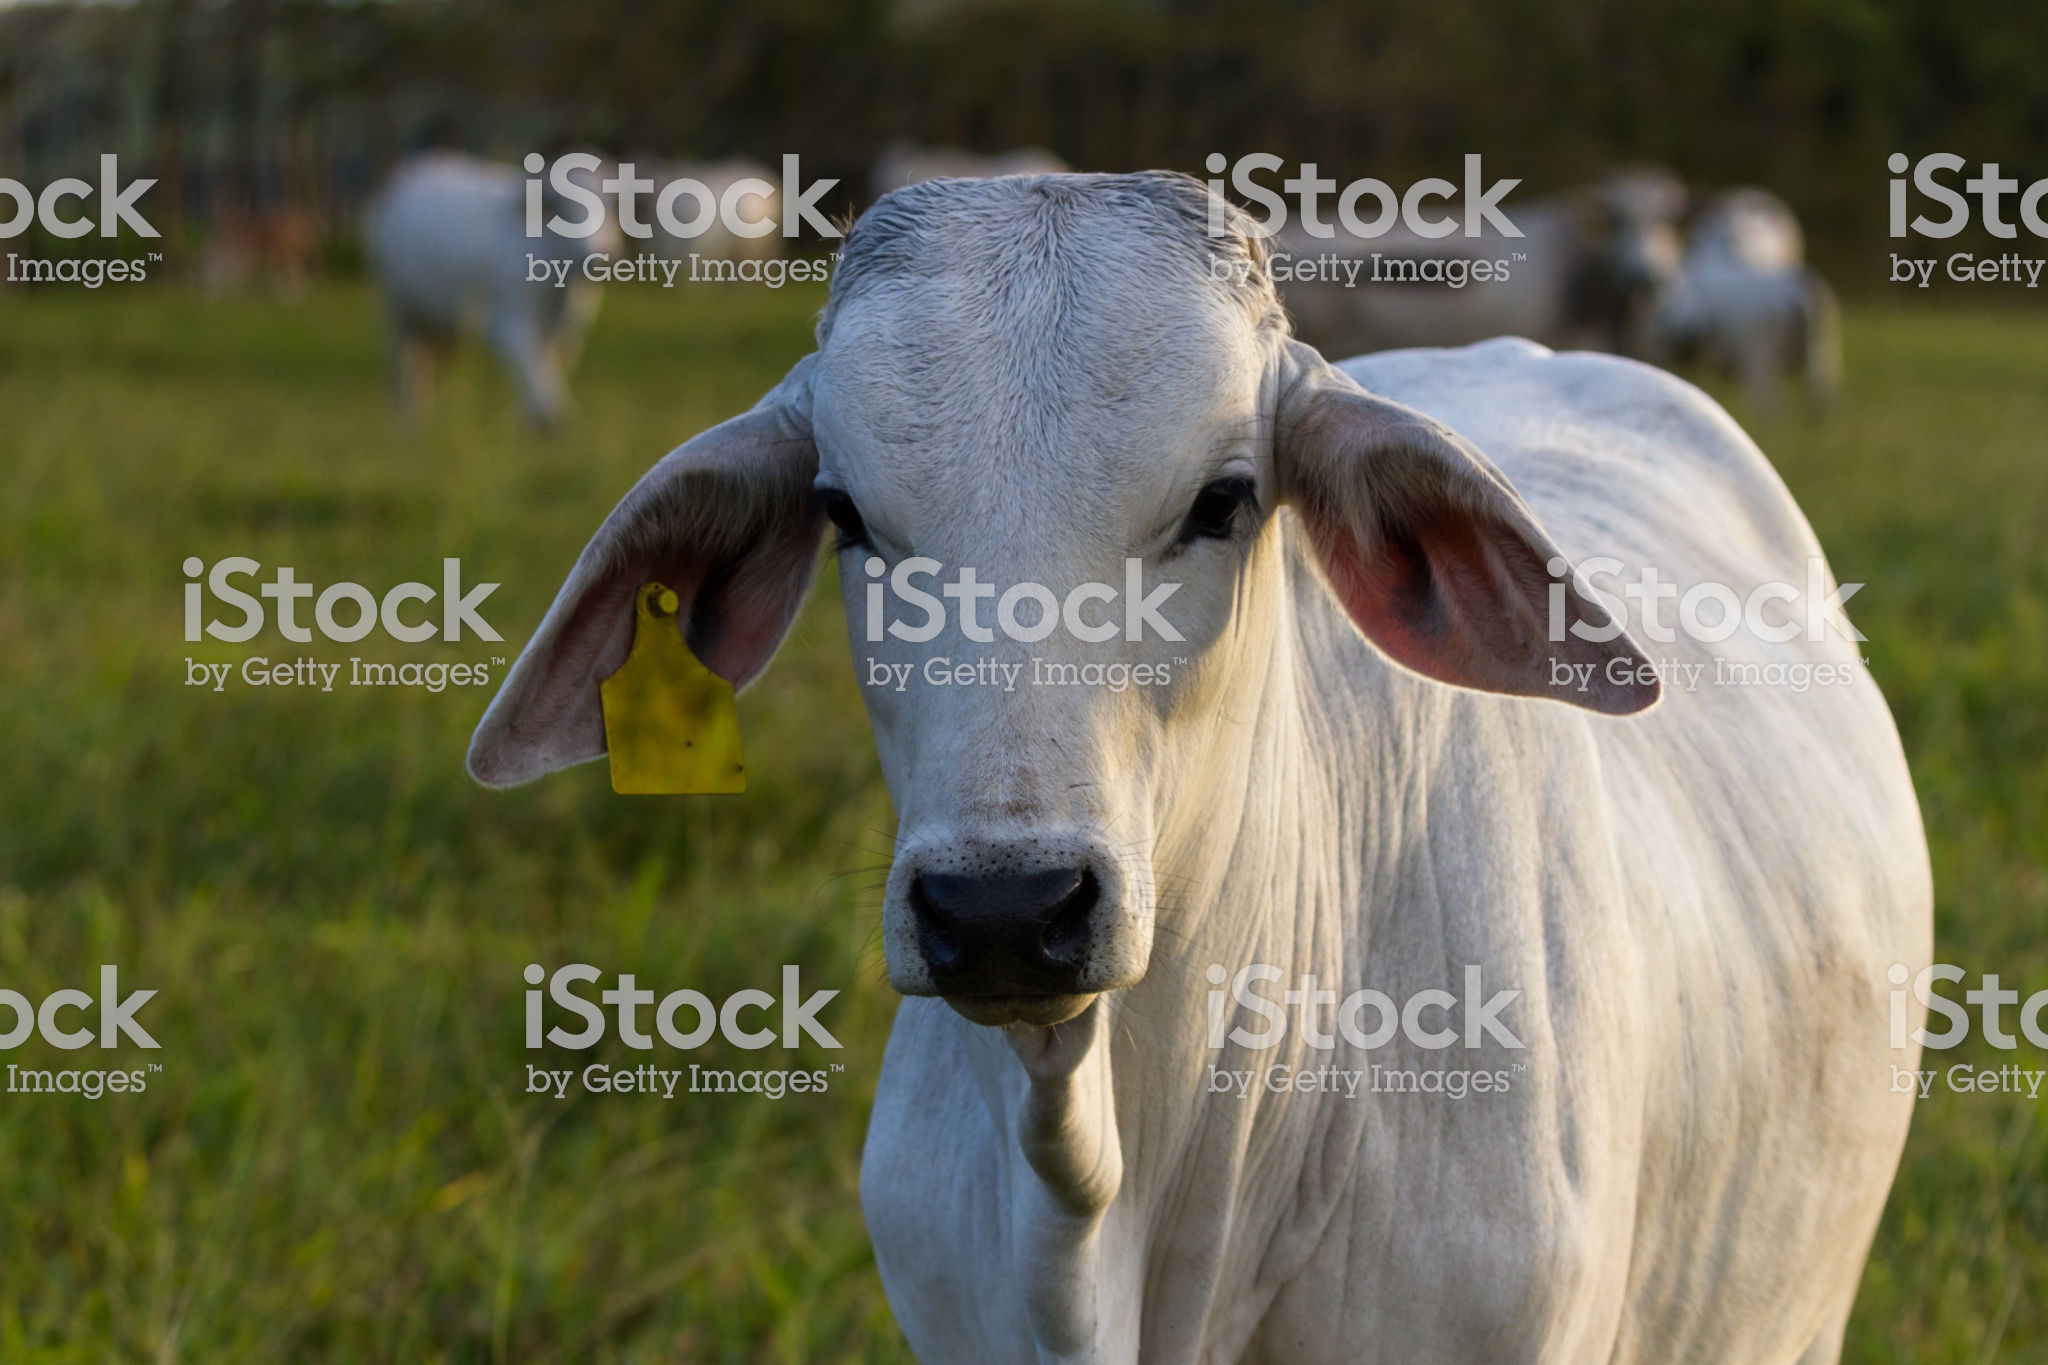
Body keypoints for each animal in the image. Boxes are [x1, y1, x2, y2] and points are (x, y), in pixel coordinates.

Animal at [366, 152, 617, 427]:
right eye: (564, 210)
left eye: (611, 206)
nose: (601, 256)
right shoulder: (509, 321)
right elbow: (528, 367)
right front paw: (548, 417)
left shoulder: (563, 333)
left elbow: (545, 367)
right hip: (398, 313)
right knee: (405, 372)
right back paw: (406, 422)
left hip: (441, 325)